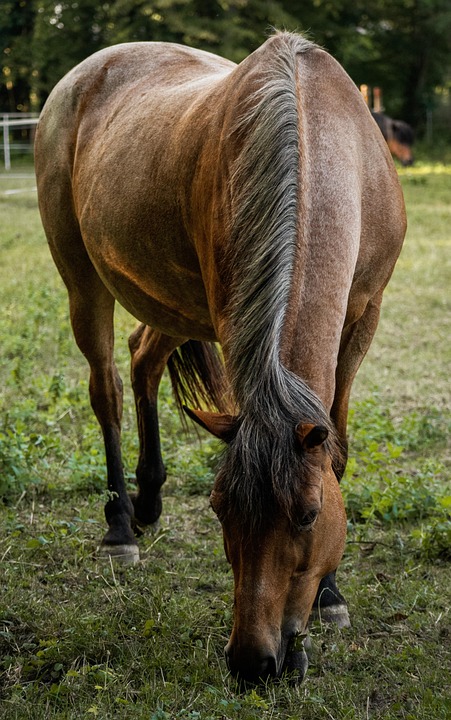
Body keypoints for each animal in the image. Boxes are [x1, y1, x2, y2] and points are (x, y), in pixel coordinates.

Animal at [34, 32, 406, 684]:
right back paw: (121, 527)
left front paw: (331, 595)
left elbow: (337, 450)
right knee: (106, 389)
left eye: (308, 516)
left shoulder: (364, 317)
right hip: (86, 280)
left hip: (174, 307)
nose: (253, 662)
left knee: (143, 360)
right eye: (218, 509)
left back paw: (149, 498)